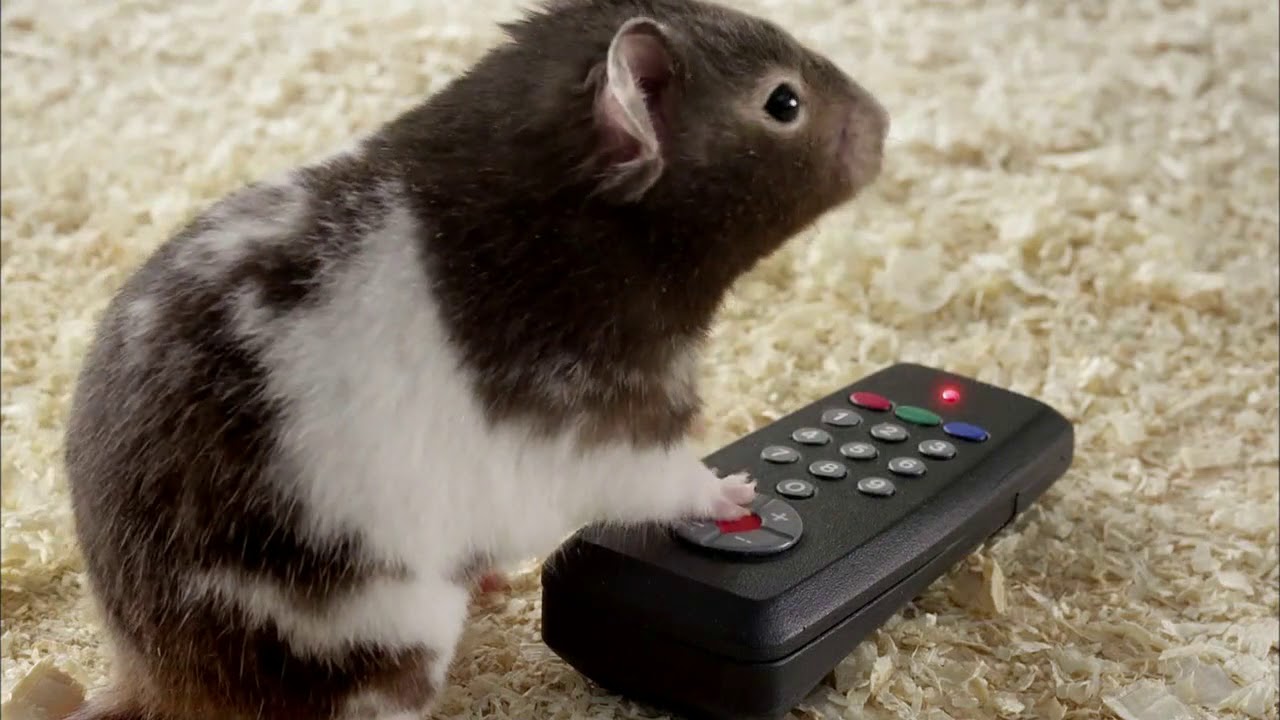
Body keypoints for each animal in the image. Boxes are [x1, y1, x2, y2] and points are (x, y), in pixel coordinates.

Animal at [62, 0, 888, 718]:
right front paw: (740, 491)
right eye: (784, 103)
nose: (886, 121)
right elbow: (676, 481)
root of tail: (149, 677)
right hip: (378, 642)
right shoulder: (608, 437)